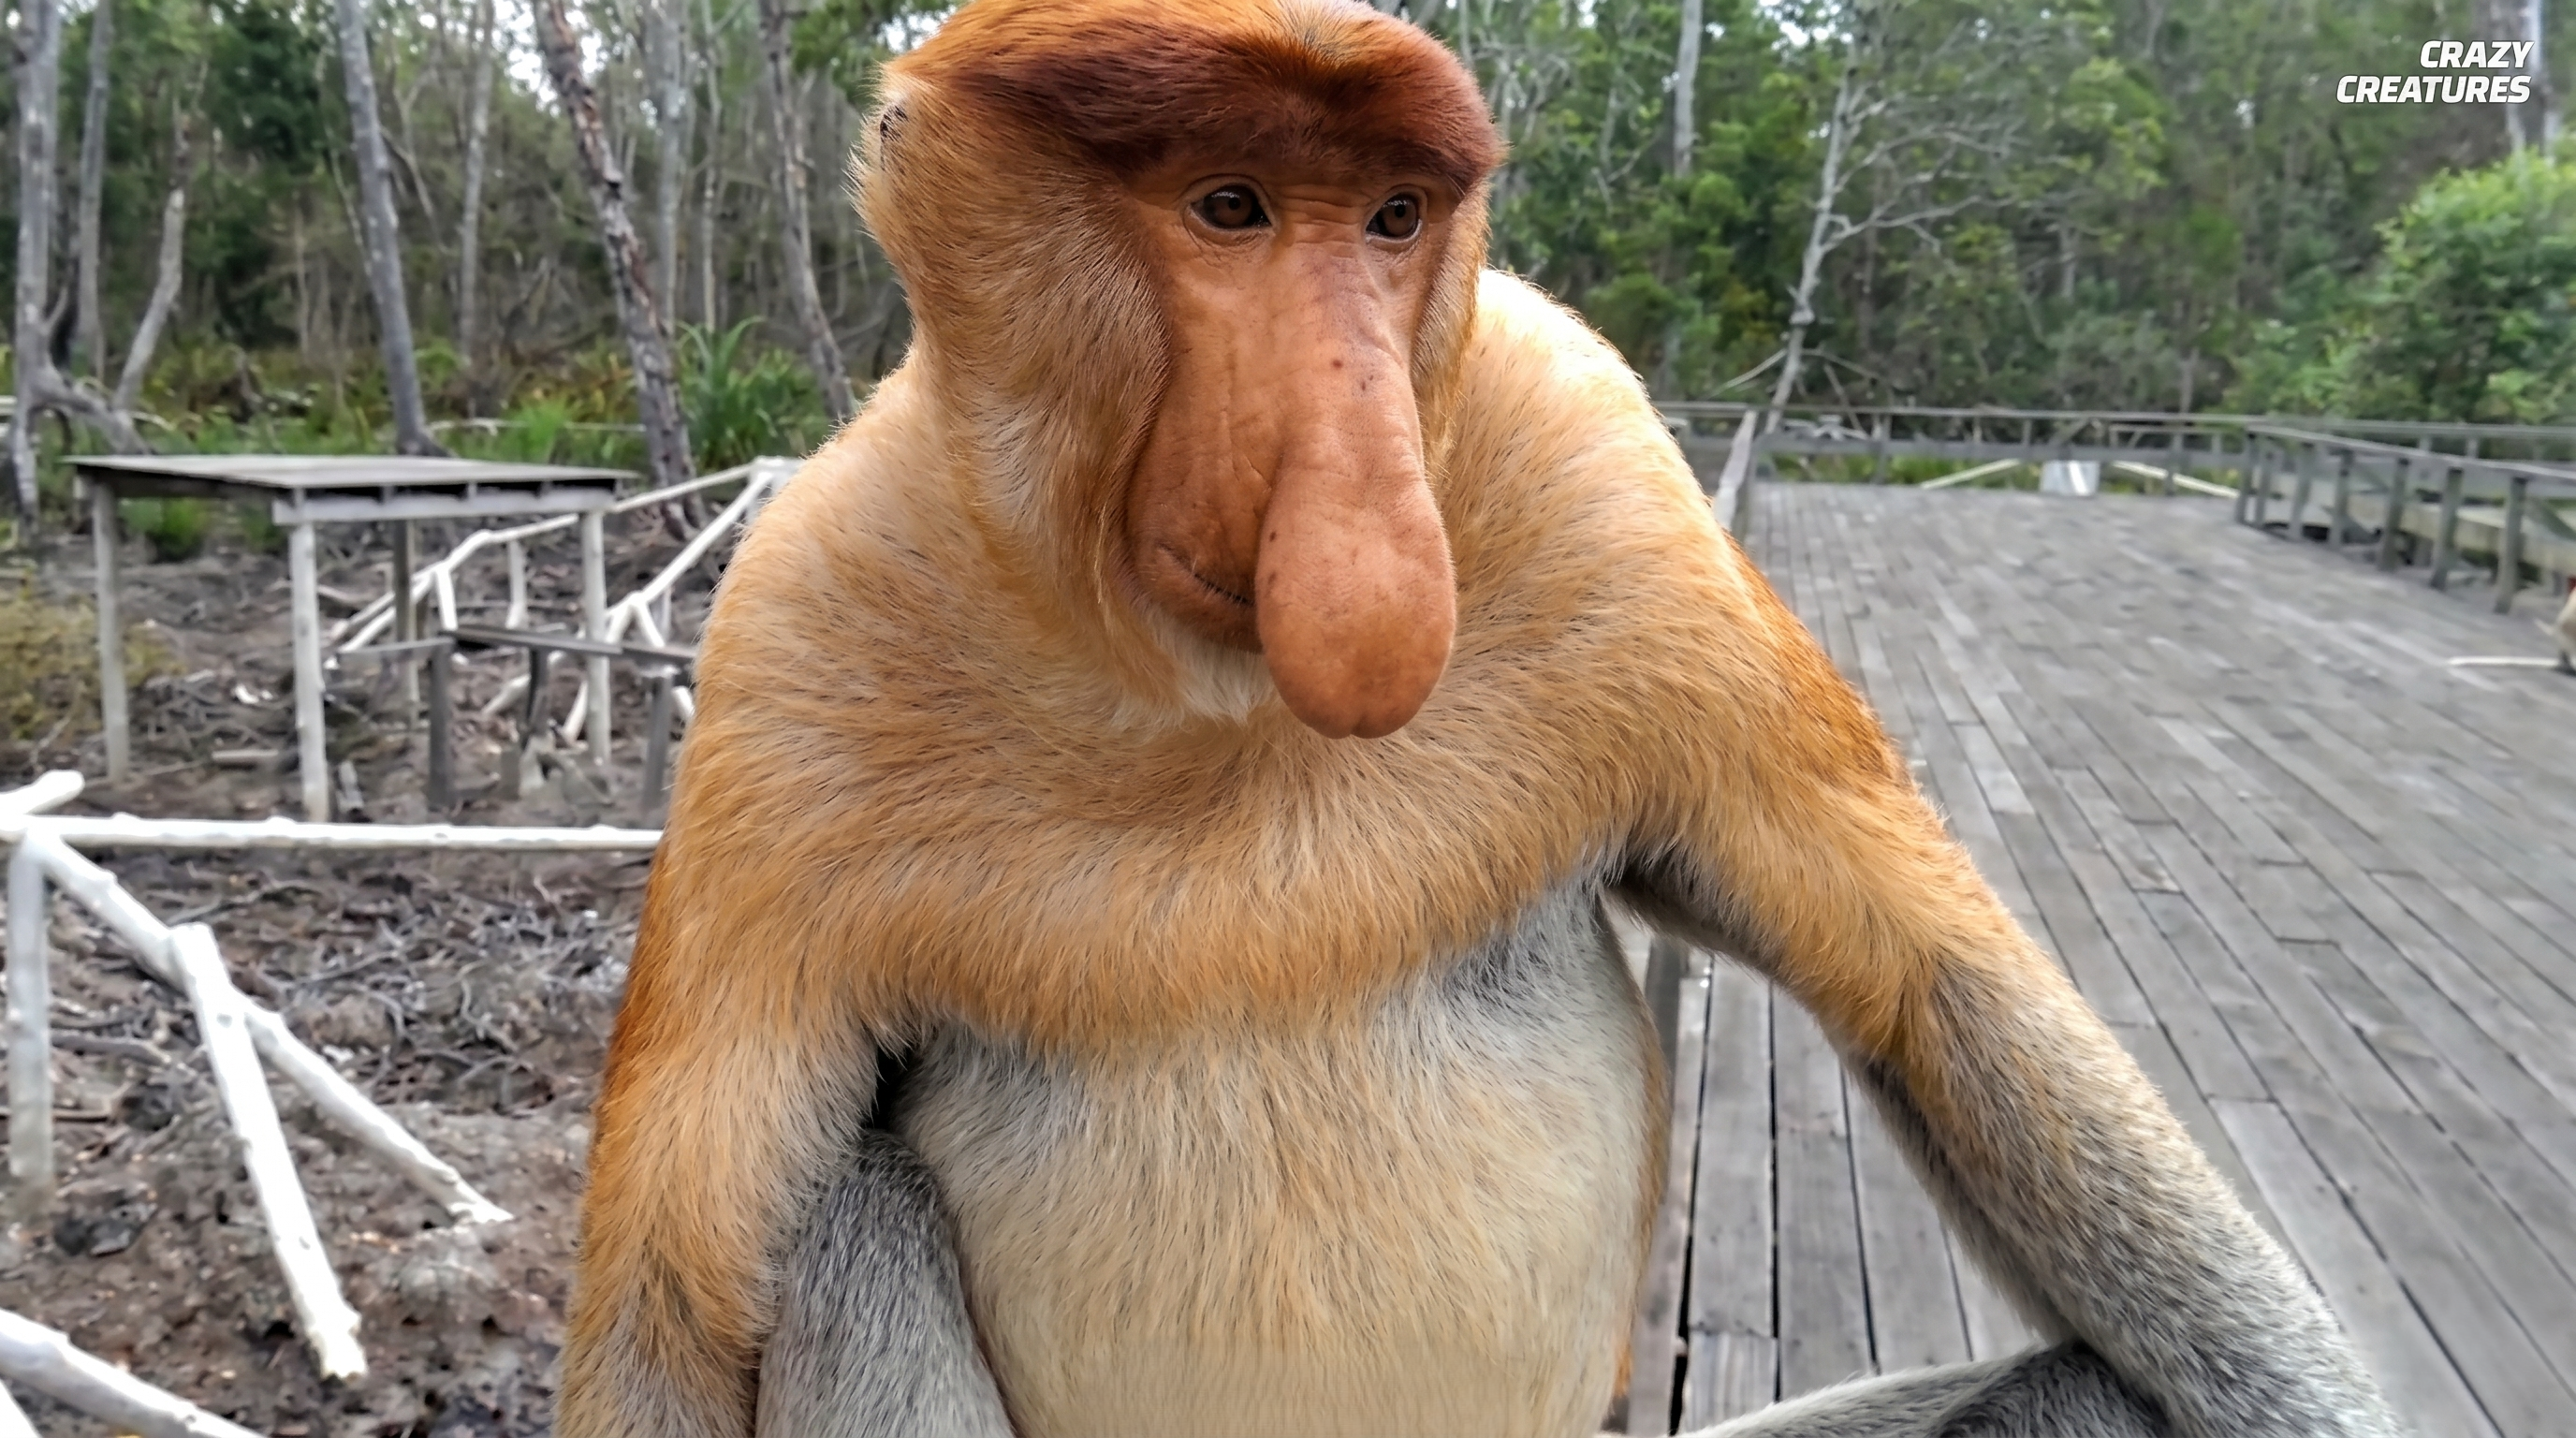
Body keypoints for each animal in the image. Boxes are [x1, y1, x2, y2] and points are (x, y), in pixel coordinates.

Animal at [556, 3, 2400, 1435]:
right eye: (1228, 206)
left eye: (1392, 217)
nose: (1368, 499)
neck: (1199, 692)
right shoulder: (786, 645)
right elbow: (673, 1304)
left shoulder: (1600, 479)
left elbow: (1934, 990)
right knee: (838, 1215)